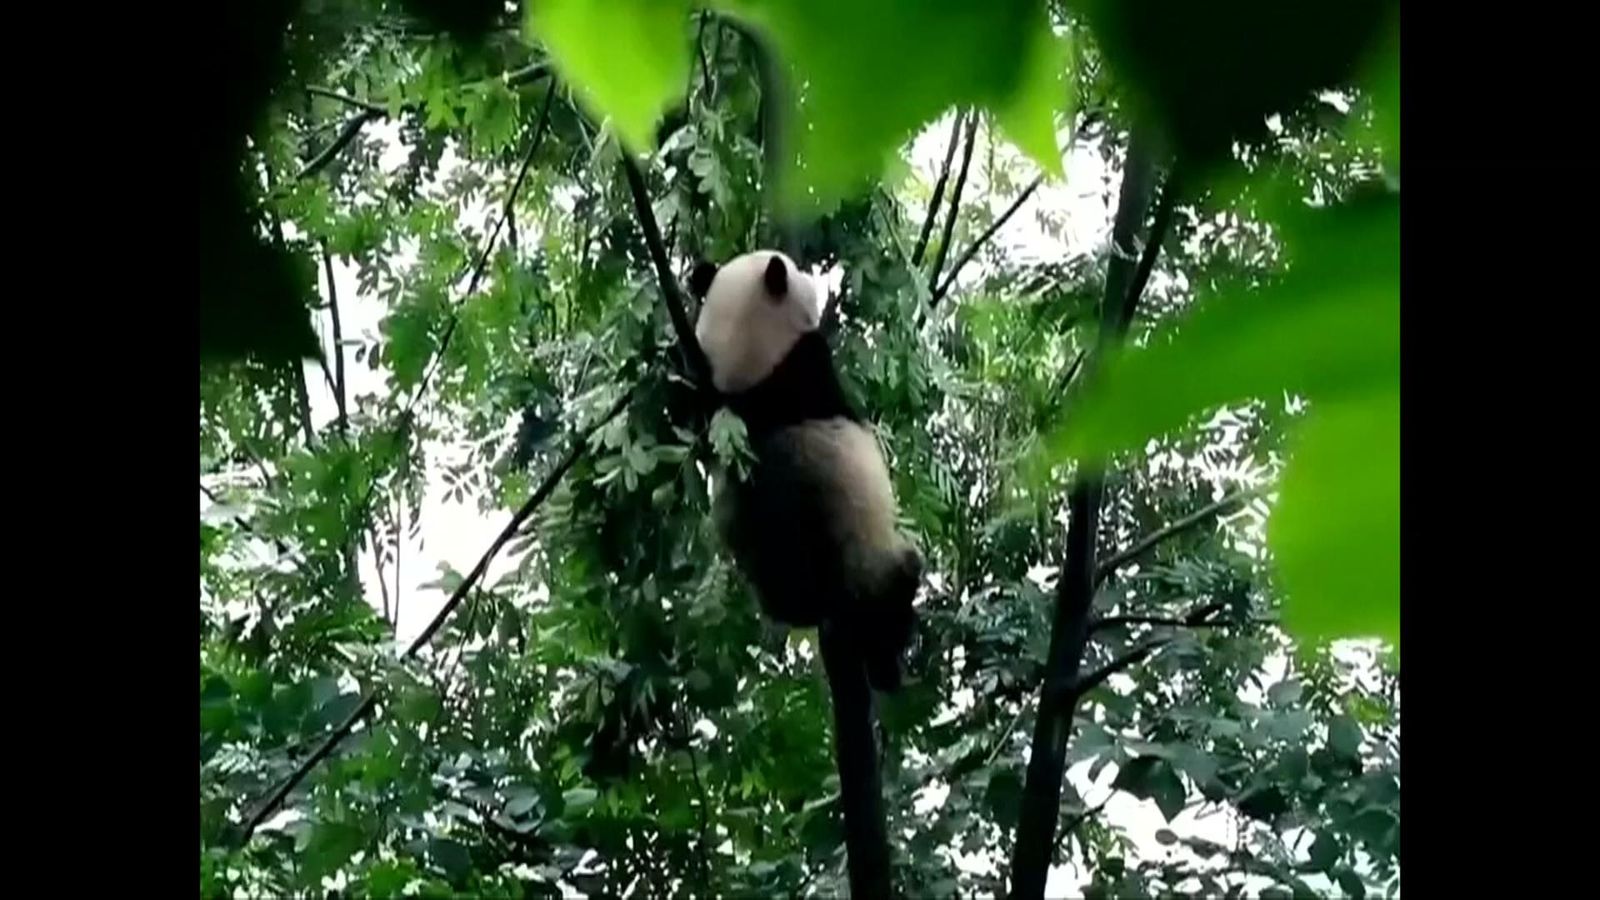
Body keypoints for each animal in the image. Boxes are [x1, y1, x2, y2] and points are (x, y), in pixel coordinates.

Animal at [689, 249, 922, 692]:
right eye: (799, 273)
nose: (816, 282)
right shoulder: (802, 371)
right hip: (866, 562)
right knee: (899, 584)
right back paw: (886, 668)